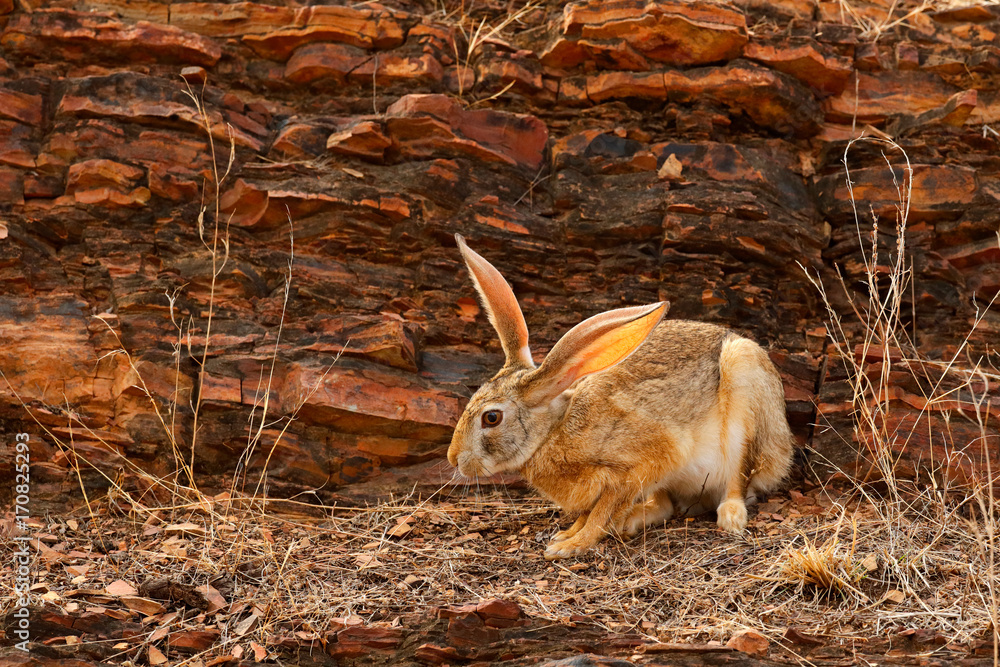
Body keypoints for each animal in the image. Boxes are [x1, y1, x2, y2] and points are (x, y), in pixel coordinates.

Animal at [447, 234, 794, 560]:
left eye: (491, 417)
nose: (453, 458)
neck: (553, 433)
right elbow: (592, 512)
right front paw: (567, 534)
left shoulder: (645, 463)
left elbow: (601, 513)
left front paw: (569, 546)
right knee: (665, 506)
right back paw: (632, 520)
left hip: (742, 386)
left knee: (739, 474)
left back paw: (730, 517)